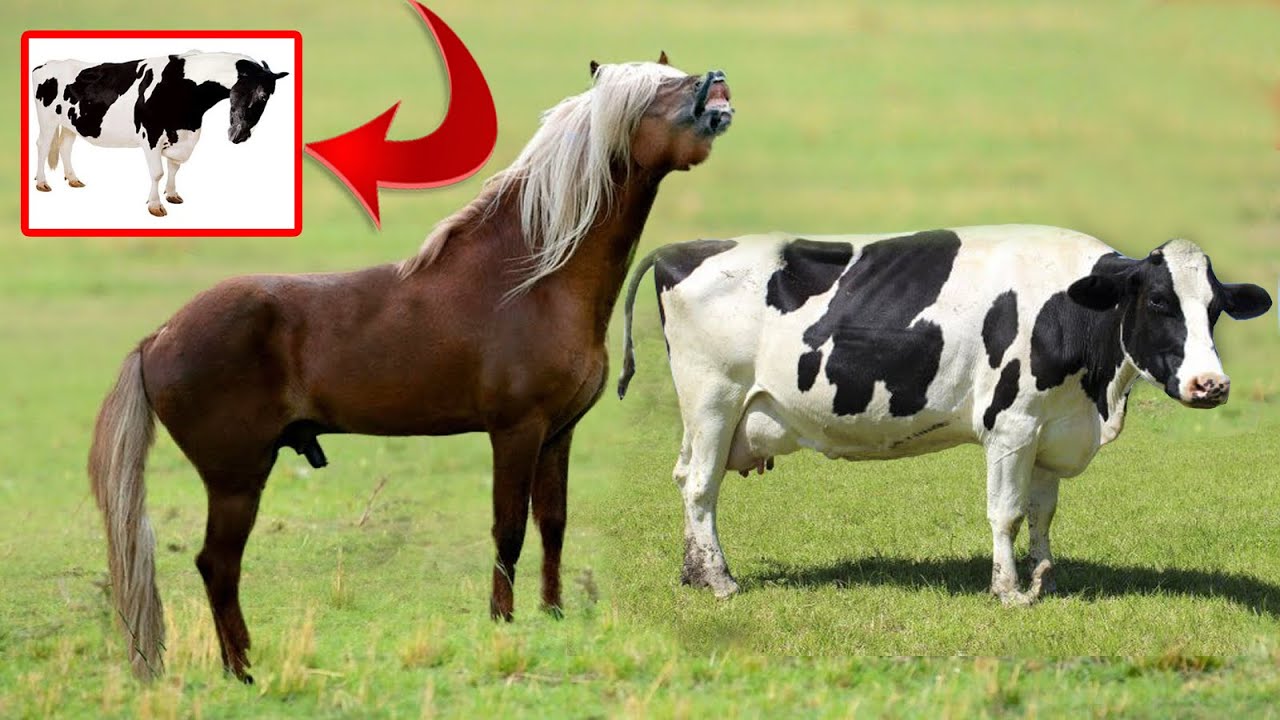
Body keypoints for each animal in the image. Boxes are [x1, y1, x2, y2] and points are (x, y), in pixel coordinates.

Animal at [32, 51, 288, 217]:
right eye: (262, 95)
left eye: (268, 97)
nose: (240, 136)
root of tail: (44, 65)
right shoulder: (151, 134)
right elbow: (157, 172)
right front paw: (155, 205)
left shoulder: (183, 134)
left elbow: (174, 167)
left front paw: (172, 195)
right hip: (47, 120)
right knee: (42, 146)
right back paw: (42, 183)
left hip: (70, 123)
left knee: (65, 147)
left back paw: (73, 179)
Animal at [88, 52, 734, 682]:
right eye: (657, 94)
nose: (718, 84)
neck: (533, 277)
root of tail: (159, 337)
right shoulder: (515, 431)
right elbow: (508, 530)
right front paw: (502, 622)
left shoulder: (558, 434)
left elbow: (552, 524)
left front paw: (552, 613)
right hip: (236, 478)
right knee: (217, 565)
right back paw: (242, 671)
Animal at [617, 225, 1272, 606]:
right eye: (1158, 301)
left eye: (1215, 307)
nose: (1211, 384)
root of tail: (686, 248)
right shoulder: (1012, 425)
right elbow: (1007, 513)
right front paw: (1009, 591)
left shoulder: (1052, 428)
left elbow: (1042, 513)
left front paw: (1045, 578)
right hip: (713, 397)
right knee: (701, 487)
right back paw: (719, 580)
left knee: (684, 477)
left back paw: (692, 572)